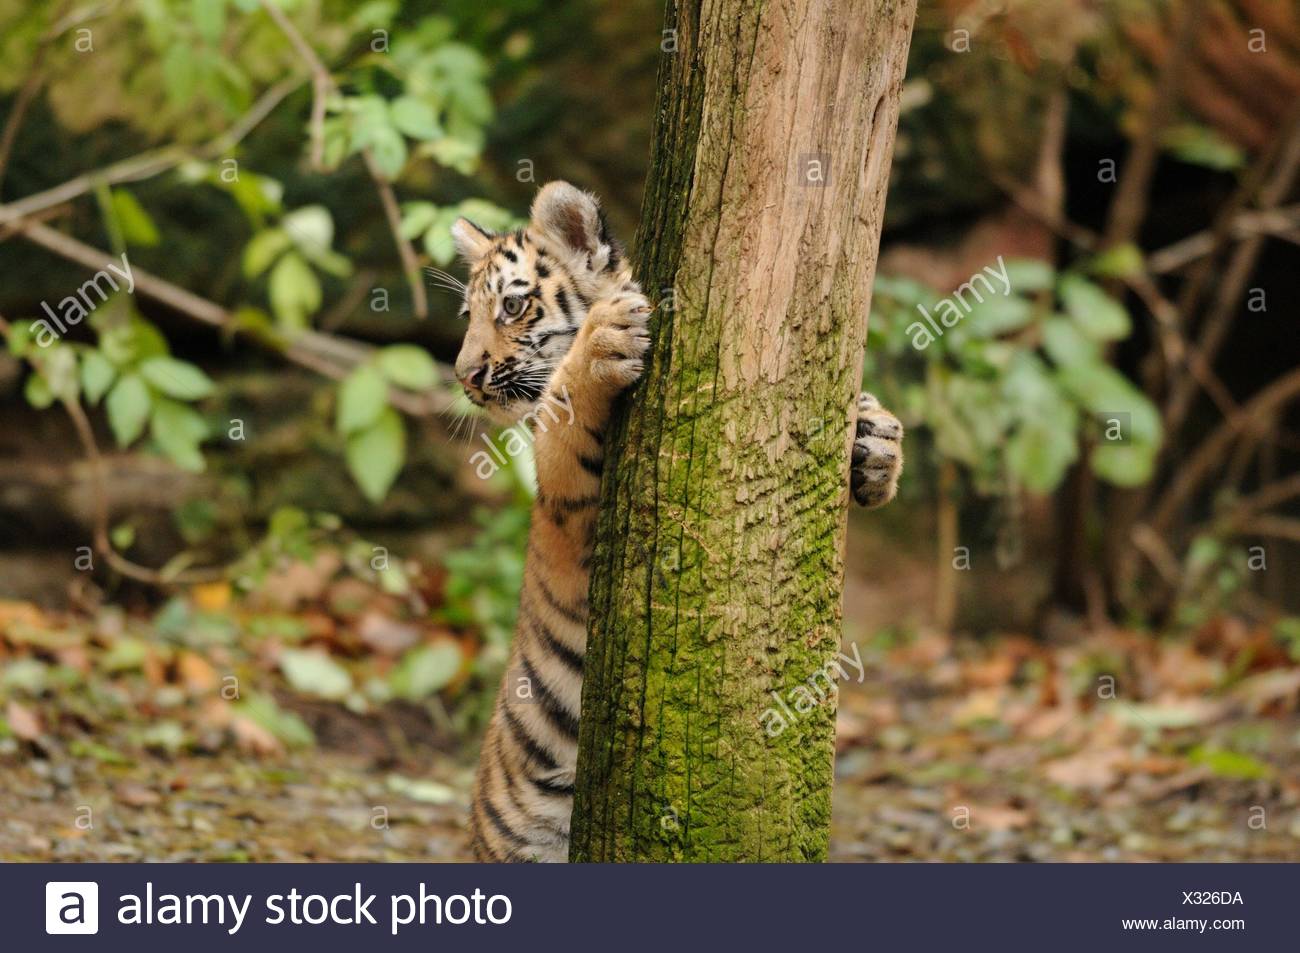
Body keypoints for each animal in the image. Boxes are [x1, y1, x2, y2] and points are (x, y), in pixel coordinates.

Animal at [449, 181, 904, 862]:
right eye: (469, 315)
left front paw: (876, 442)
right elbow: (565, 405)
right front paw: (604, 343)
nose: (466, 376)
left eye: (510, 305)